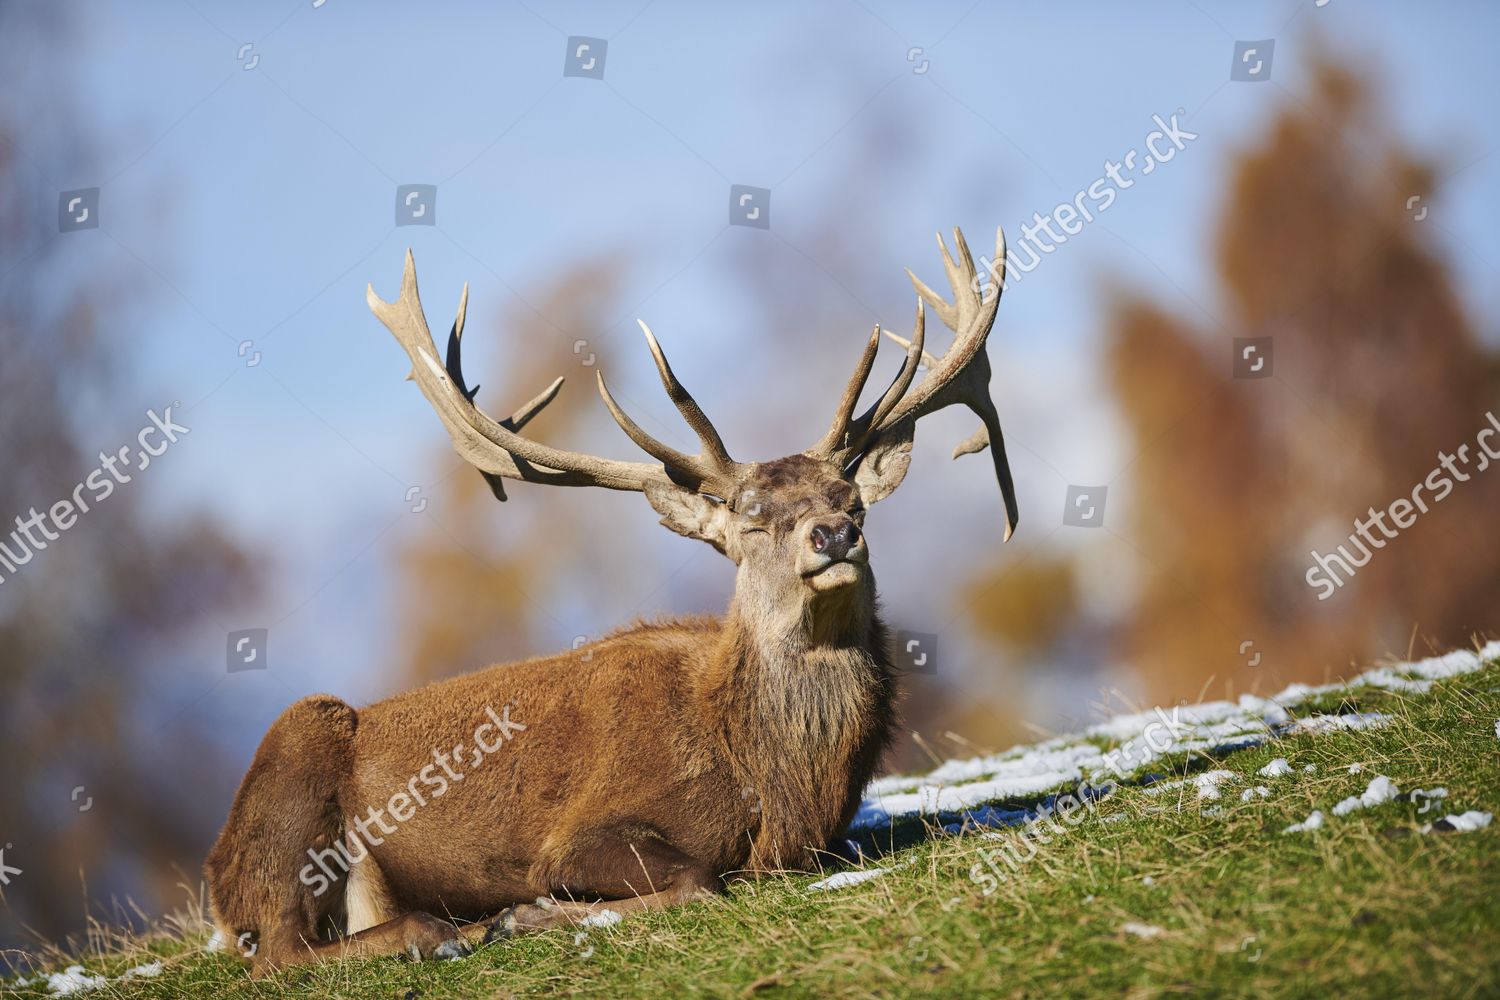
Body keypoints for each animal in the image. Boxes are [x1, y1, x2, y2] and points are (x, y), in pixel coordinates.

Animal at [204, 227, 1018, 977]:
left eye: (853, 500)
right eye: (753, 519)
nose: (835, 534)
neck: (773, 782)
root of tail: (217, 880)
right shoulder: (580, 831)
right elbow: (697, 879)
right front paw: (531, 914)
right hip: (294, 762)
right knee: (278, 951)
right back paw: (441, 932)